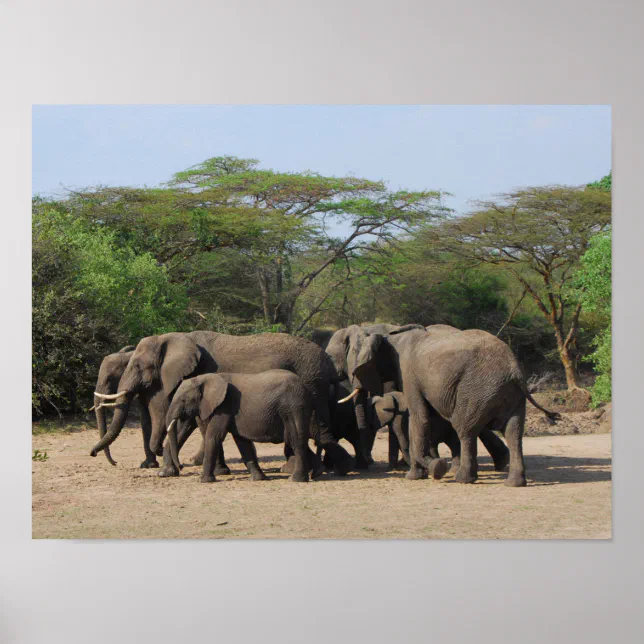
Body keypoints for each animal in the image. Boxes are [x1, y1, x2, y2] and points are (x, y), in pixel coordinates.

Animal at [165, 370, 322, 483]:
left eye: (183, 400)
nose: (182, 466)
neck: (205, 378)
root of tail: (308, 391)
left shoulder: (224, 406)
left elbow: (214, 437)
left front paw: (202, 481)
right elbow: (242, 442)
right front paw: (257, 479)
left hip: (294, 407)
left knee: (296, 441)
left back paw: (296, 479)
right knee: (296, 440)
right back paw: (317, 474)